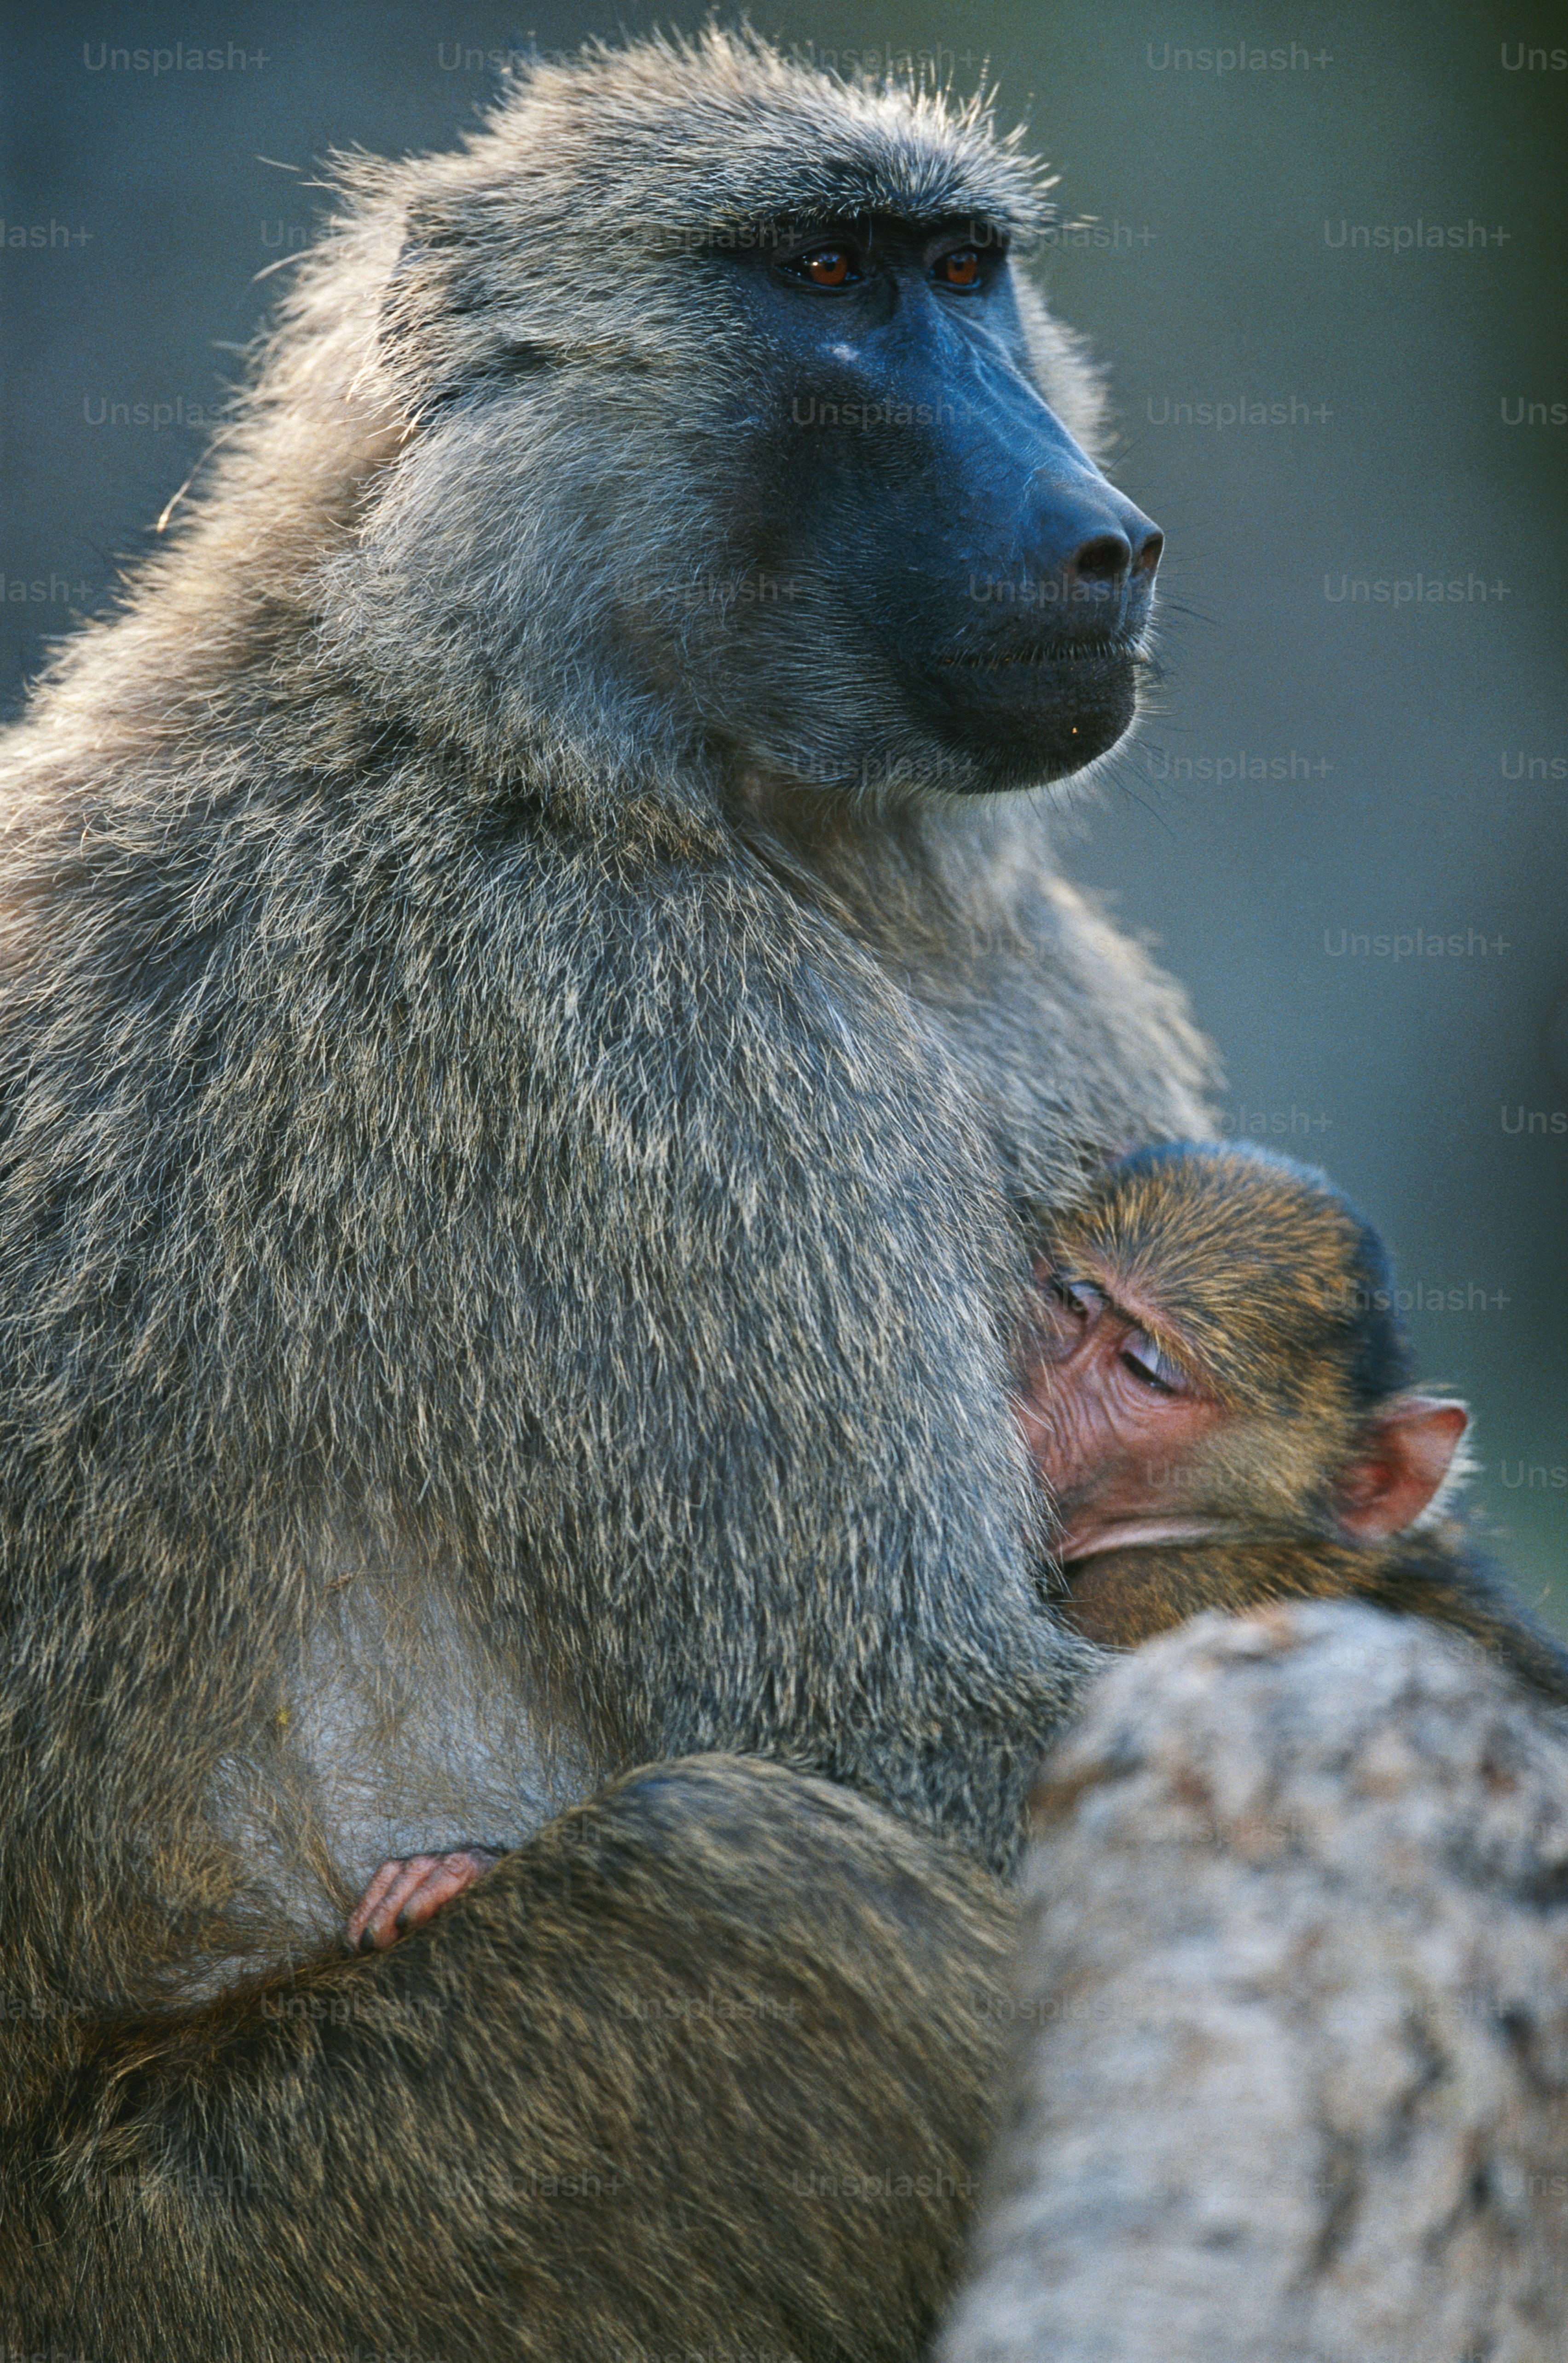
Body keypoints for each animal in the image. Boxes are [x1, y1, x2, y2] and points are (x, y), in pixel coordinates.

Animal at [0, 29, 1222, 2354]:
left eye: (961, 268)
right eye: (823, 276)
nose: (1102, 542)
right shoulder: (605, 1025)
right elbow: (911, 1722)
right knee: (741, 1870)